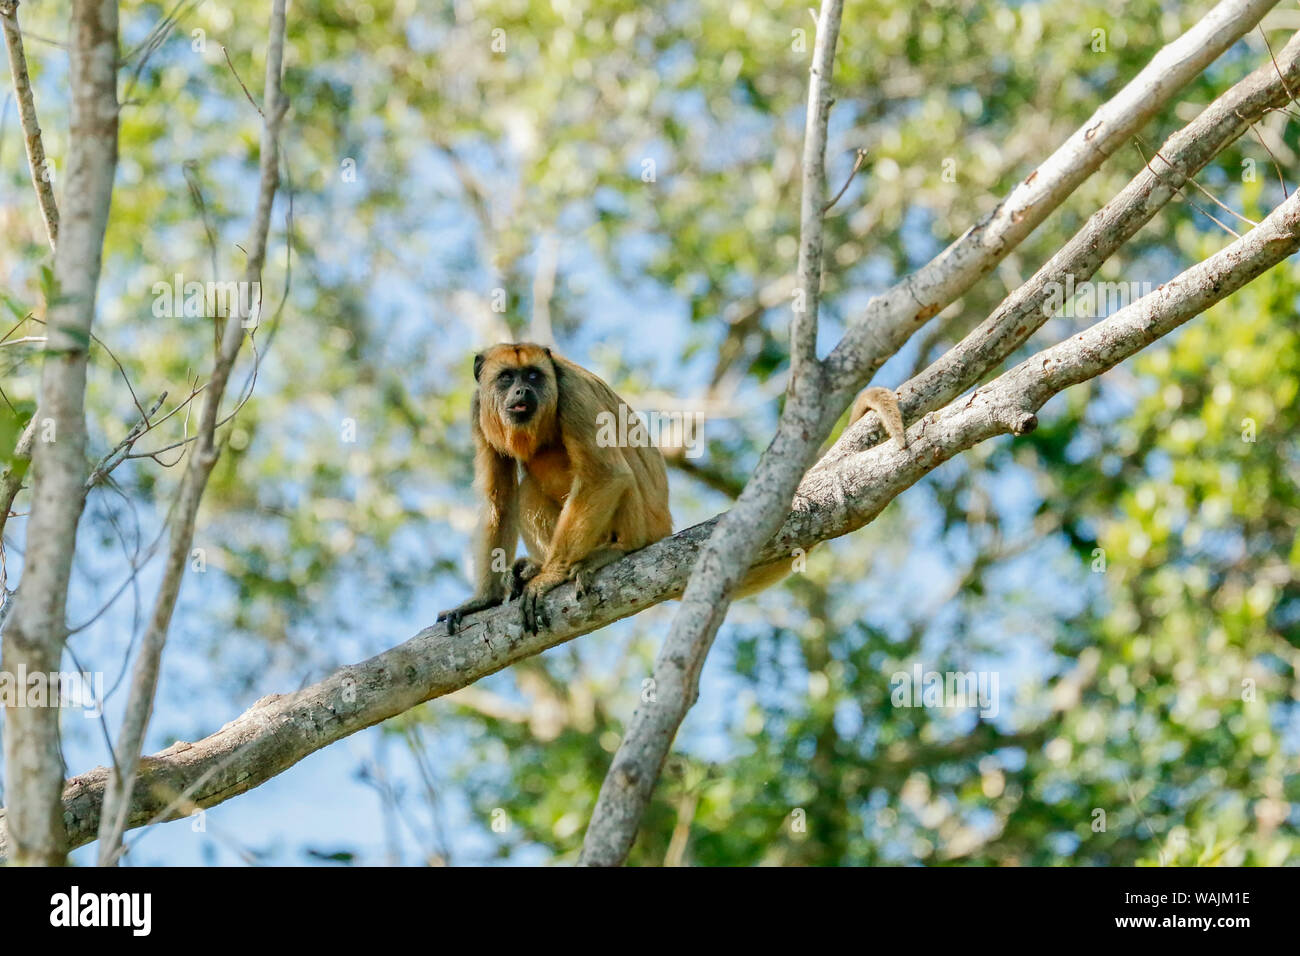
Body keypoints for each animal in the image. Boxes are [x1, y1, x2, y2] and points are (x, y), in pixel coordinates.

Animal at [438, 343, 673, 634]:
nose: (522, 390)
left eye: (533, 375)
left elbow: (605, 474)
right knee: (526, 490)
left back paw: (618, 549)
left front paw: (551, 575)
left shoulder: (573, 390)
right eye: (507, 377)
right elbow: (499, 500)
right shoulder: (478, 407)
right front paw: (484, 599)